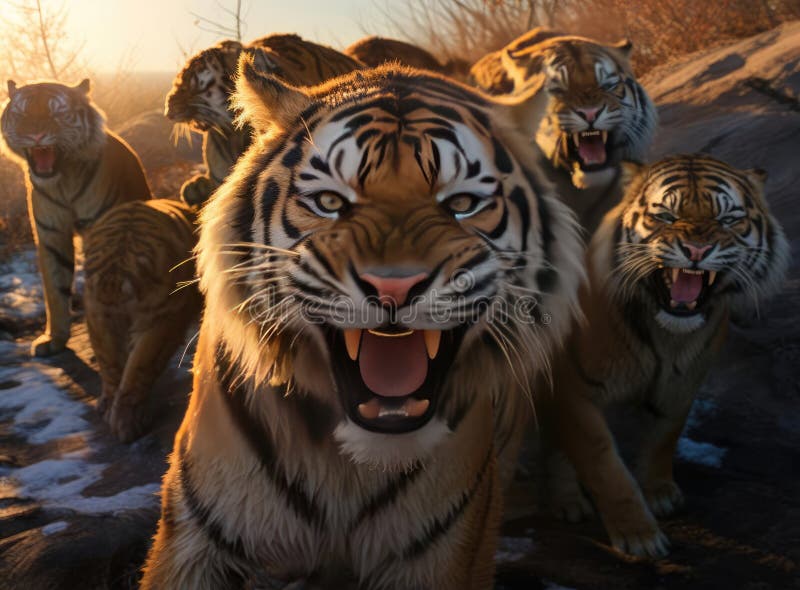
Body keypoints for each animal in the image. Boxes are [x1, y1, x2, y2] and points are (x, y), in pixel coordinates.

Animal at [1, 79, 152, 357]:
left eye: (57, 114)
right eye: (22, 114)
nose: (36, 136)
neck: (64, 181)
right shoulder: (51, 234)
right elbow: (55, 290)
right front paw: (53, 339)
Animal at [83, 198, 201, 442]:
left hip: (99, 317)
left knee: (111, 367)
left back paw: (110, 410)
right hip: (160, 319)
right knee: (140, 368)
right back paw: (130, 423)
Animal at [140, 60, 584, 589]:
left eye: (461, 204)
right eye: (331, 202)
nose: (394, 286)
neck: (349, 467)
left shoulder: (448, 555)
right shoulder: (198, 541)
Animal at [537, 154, 789, 557]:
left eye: (726, 220)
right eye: (666, 217)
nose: (697, 252)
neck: (668, 334)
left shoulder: (682, 384)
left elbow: (663, 438)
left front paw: (660, 494)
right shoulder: (573, 387)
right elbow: (603, 462)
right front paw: (639, 536)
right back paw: (567, 501)